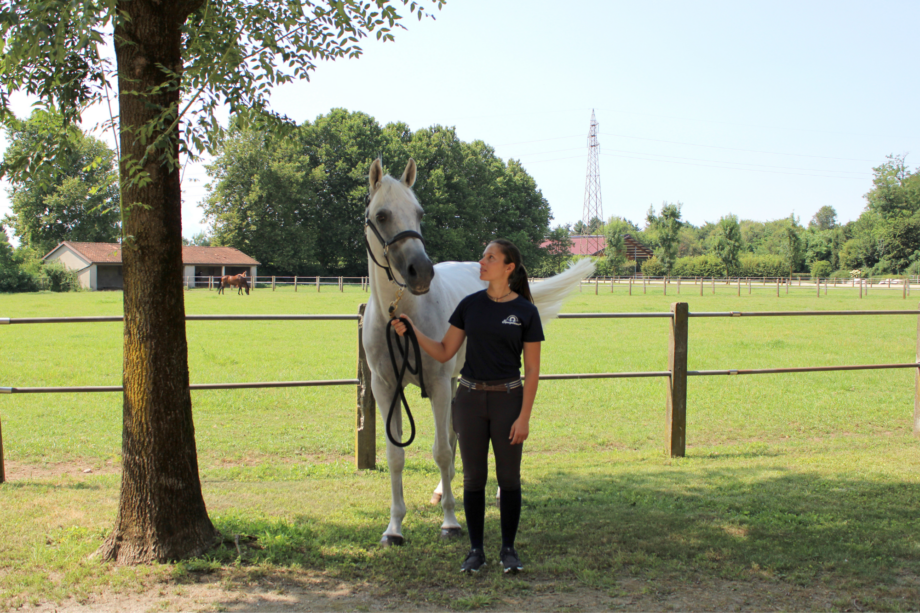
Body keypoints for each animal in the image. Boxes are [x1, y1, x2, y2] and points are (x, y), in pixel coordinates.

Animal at [362, 158, 595, 546]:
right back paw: (440, 492)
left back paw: (497, 491)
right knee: (456, 435)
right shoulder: (385, 387)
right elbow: (397, 455)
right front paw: (394, 528)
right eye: (381, 215)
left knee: (500, 431)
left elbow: (442, 452)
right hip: (455, 380)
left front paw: (450, 522)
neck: (399, 315)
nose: (420, 272)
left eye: (419, 213)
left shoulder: (437, 385)